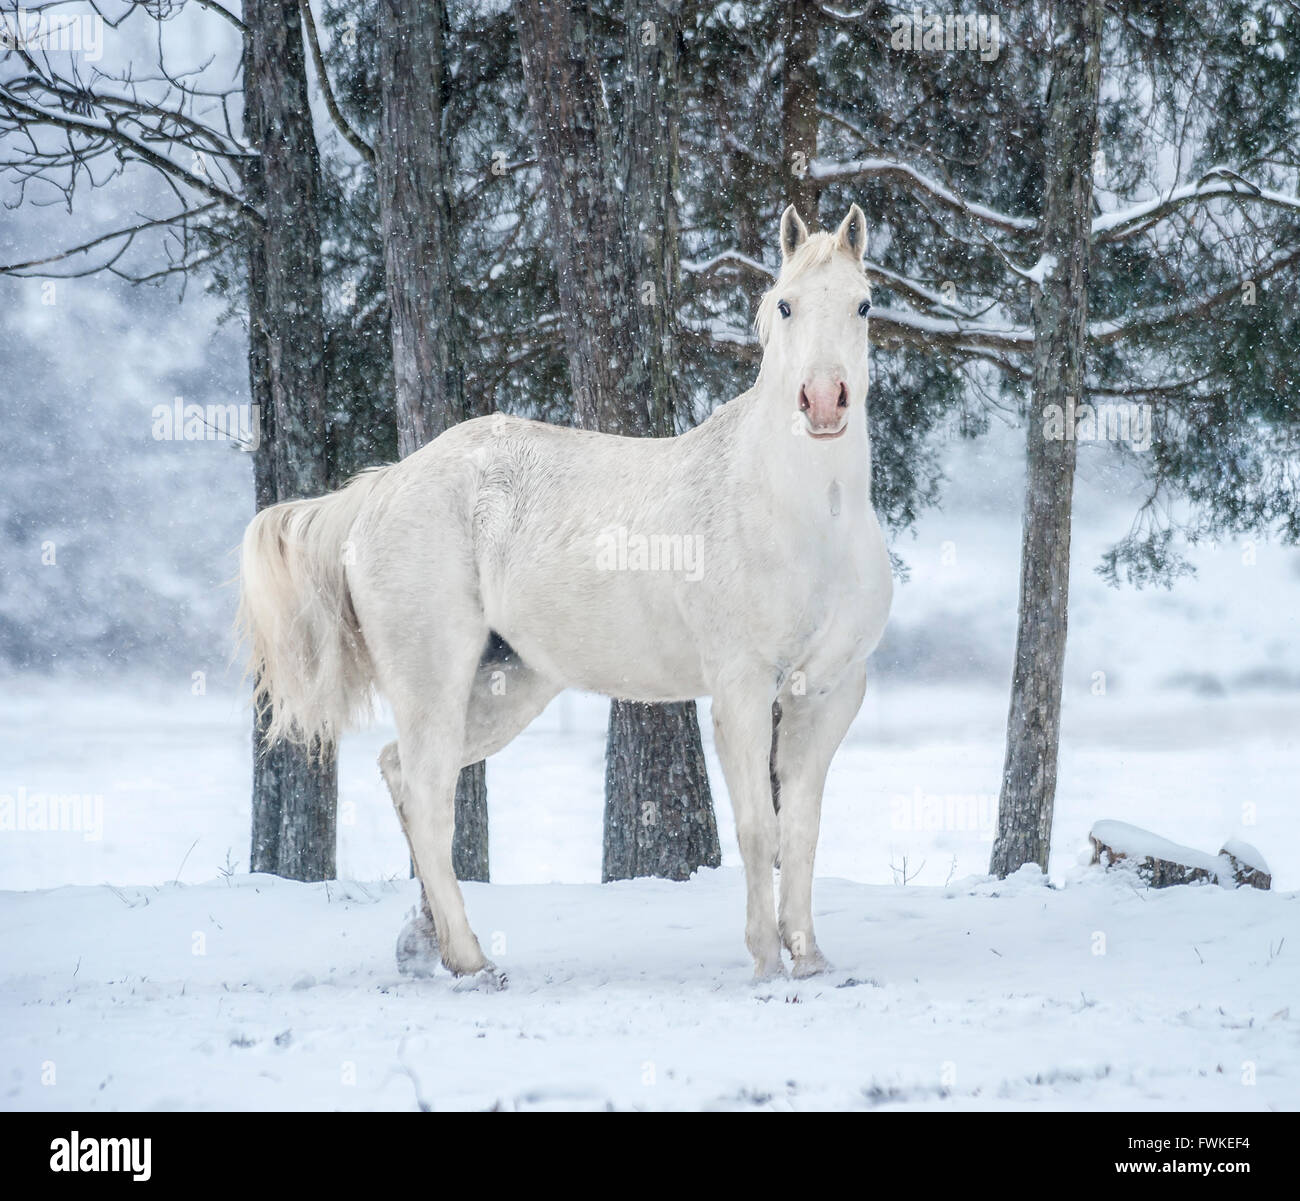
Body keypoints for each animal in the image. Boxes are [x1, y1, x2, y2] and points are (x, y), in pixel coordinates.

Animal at [237, 203, 893, 985]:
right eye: (786, 305)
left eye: (863, 304)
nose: (823, 404)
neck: (804, 513)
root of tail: (380, 489)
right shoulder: (740, 688)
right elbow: (760, 826)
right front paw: (766, 962)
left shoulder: (825, 693)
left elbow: (802, 828)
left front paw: (812, 959)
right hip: (434, 680)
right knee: (428, 797)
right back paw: (473, 960)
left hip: (506, 686)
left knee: (401, 773)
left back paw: (430, 945)